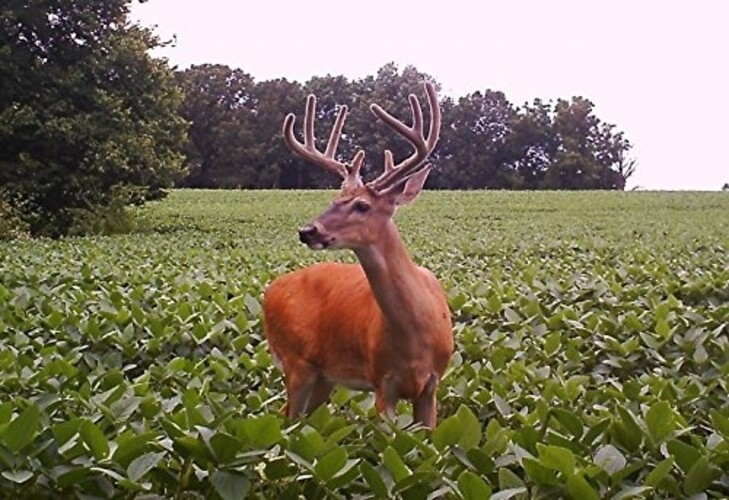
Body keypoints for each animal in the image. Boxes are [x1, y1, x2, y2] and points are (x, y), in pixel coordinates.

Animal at [262, 82, 453, 429]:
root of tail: (269, 290)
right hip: (296, 362)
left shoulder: (432, 386)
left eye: (362, 205)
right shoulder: (382, 383)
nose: (308, 231)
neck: (417, 335)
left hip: (323, 377)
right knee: (287, 419)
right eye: (334, 200)